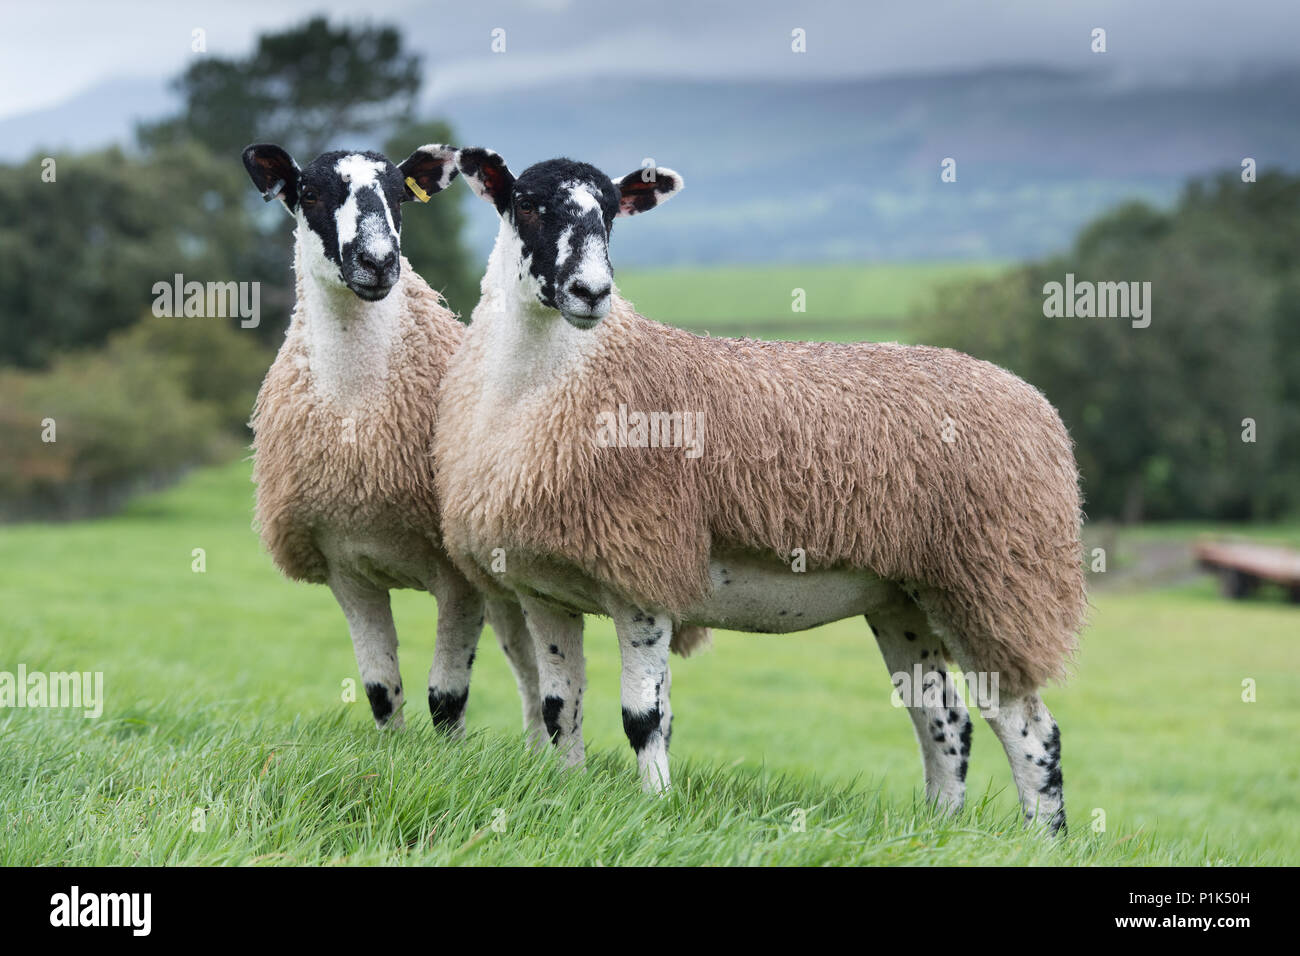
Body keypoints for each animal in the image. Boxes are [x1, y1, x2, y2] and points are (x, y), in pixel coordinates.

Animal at [240, 142, 547, 740]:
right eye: (309, 192)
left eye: (400, 195)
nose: (380, 262)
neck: (356, 412)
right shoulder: (347, 572)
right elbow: (383, 691)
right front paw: (392, 751)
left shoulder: (457, 577)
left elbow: (446, 698)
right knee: (528, 666)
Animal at [433, 148, 1087, 833]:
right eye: (526, 203)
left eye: (612, 214)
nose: (592, 293)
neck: (546, 384)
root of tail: (1037, 404)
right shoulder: (543, 588)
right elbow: (561, 709)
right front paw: (567, 791)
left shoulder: (646, 571)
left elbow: (645, 718)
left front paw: (656, 809)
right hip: (904, 598)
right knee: (947, 721)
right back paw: (938, 831)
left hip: (996, 583)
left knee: (1031, 729)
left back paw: (1042, 839)